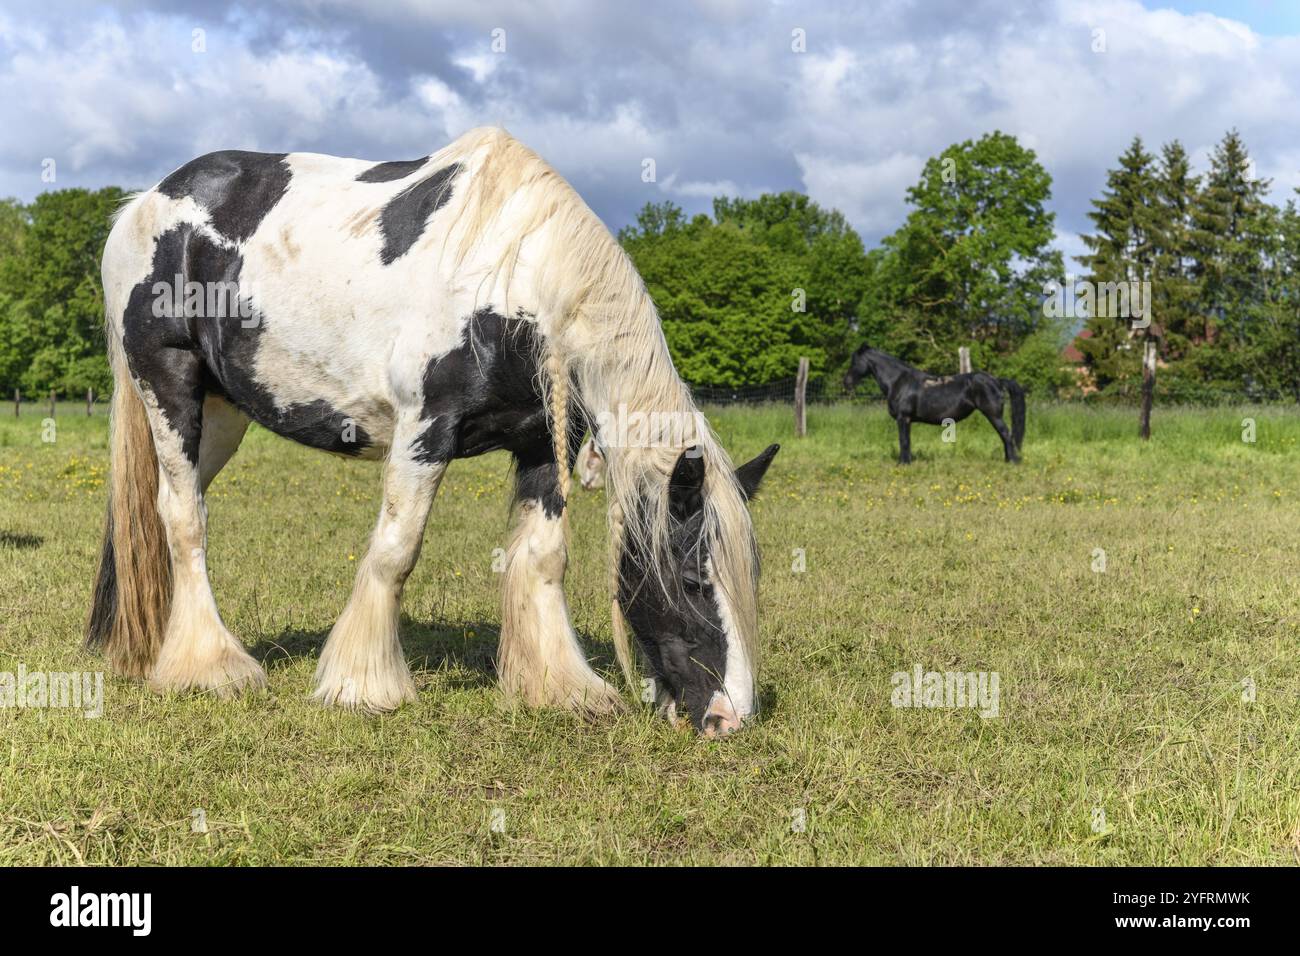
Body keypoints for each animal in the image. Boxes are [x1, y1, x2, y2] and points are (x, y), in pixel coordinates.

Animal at [86, 127, 779, 737]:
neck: (516, 283)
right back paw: (211, 667)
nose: (730, 718)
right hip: (170, 387)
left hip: (220, 415)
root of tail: (146, 203)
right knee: (183, 516)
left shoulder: (541, 445)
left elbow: (544, 558)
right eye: (693, 580)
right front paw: (363, 684)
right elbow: (396, 551)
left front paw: (559, 688)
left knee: (153, 512)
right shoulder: (424, 431)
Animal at [842, 345, 1025, 464]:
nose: (846, 383)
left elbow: (904, 441)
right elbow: (906, 441)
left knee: (1006, 435)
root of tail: (997, 381)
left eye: (854, 361)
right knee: (1004, 436)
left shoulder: (903, 418)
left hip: (993, 414)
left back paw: (1013, 462)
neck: (898, 381)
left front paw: (903, 464)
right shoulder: (906, 420)